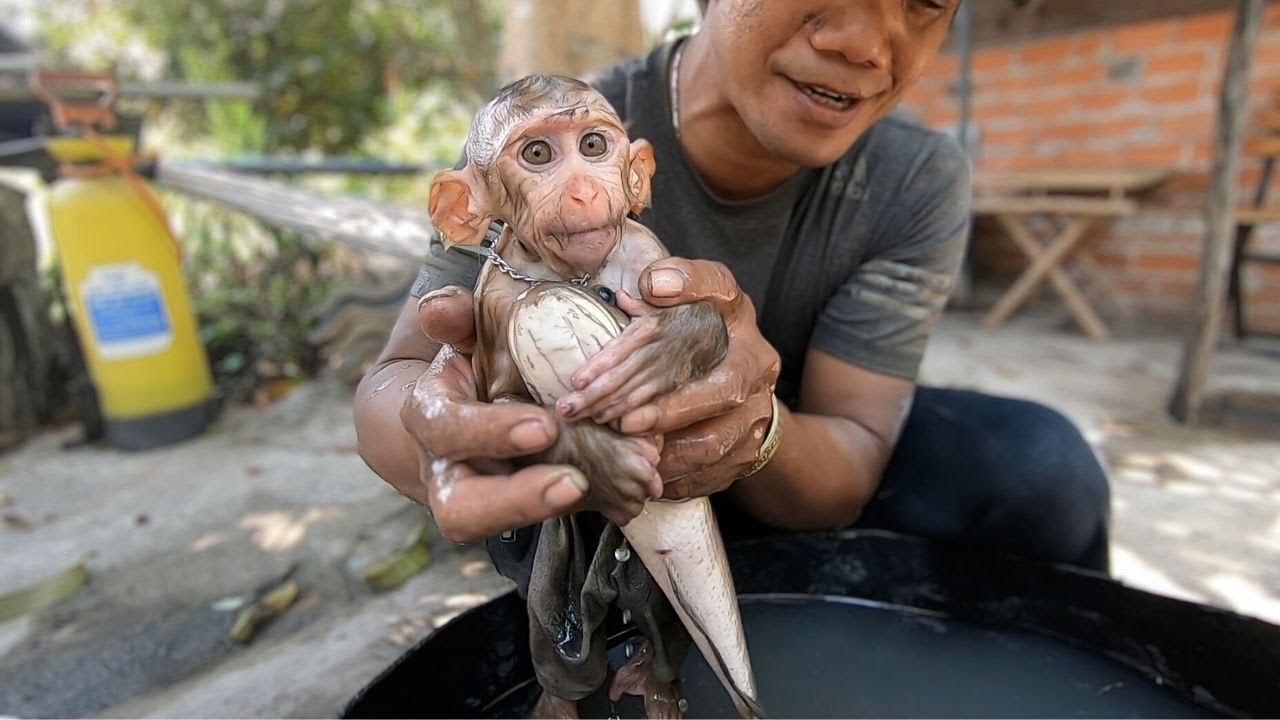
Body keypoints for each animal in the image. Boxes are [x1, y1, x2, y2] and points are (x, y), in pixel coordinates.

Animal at [426, 75, 739, 720]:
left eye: (593, 145)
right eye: (537, 154)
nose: (583, 192)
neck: (574, 274)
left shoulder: (644, 247)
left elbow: (677, 293)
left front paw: (670, 342)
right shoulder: (498, 296)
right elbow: (503, 400)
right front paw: (596, 454)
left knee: (656, 606)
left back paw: (657, 681)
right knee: (558, 632)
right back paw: (560, 695)